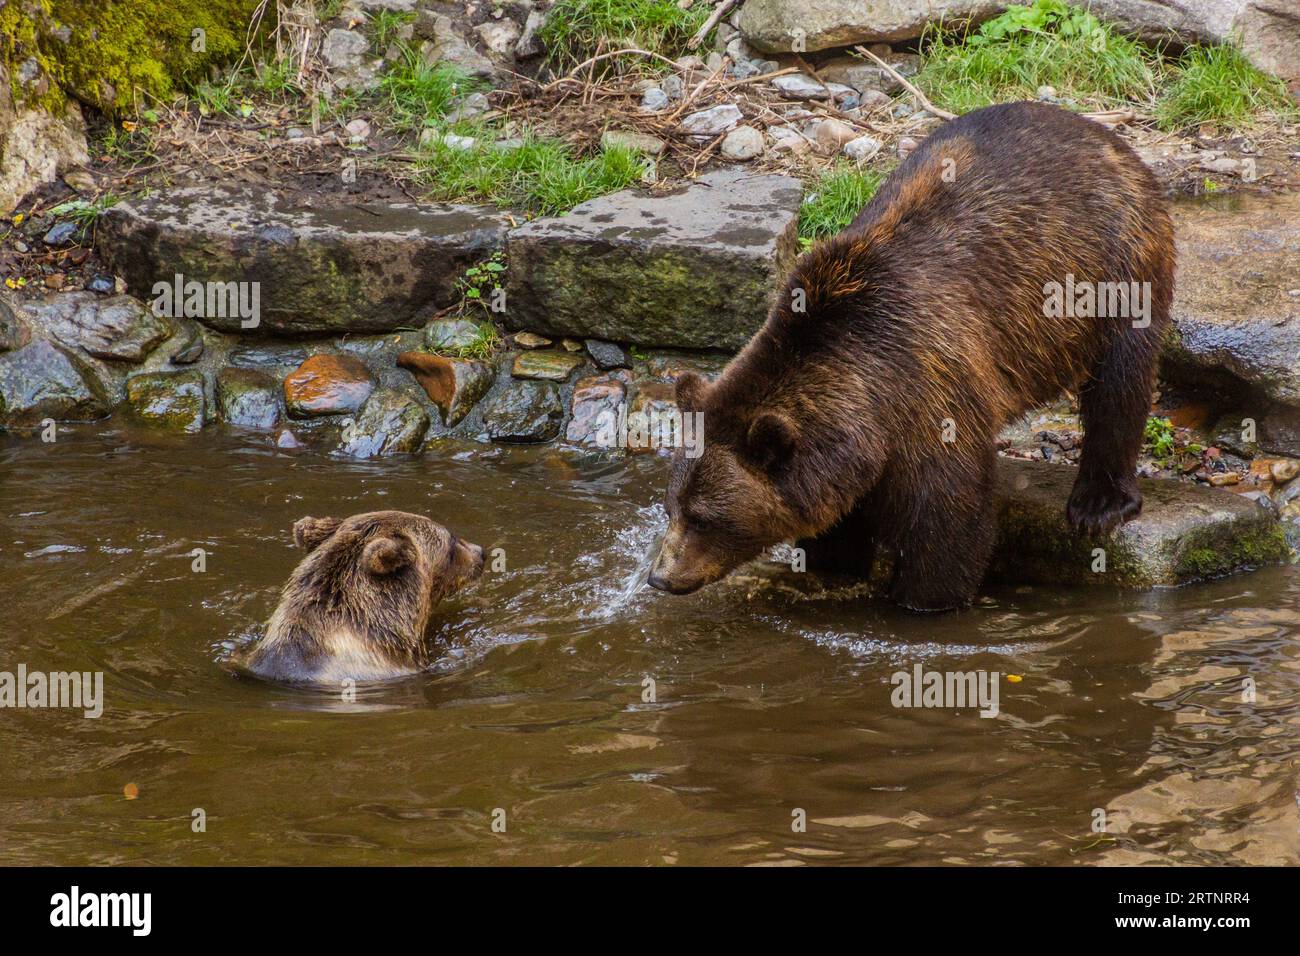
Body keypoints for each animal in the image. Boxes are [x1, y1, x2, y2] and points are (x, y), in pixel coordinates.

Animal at [648, 101, 1174, 611]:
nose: (660, 576)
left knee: (1121, 378)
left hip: (1113, 266)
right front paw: (834, 562)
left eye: (704, 518)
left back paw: (1098, 502)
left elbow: (945, 524)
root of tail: (1097, 130)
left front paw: (920, 599)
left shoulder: (927, 391)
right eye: (672, 506)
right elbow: (839, 526)